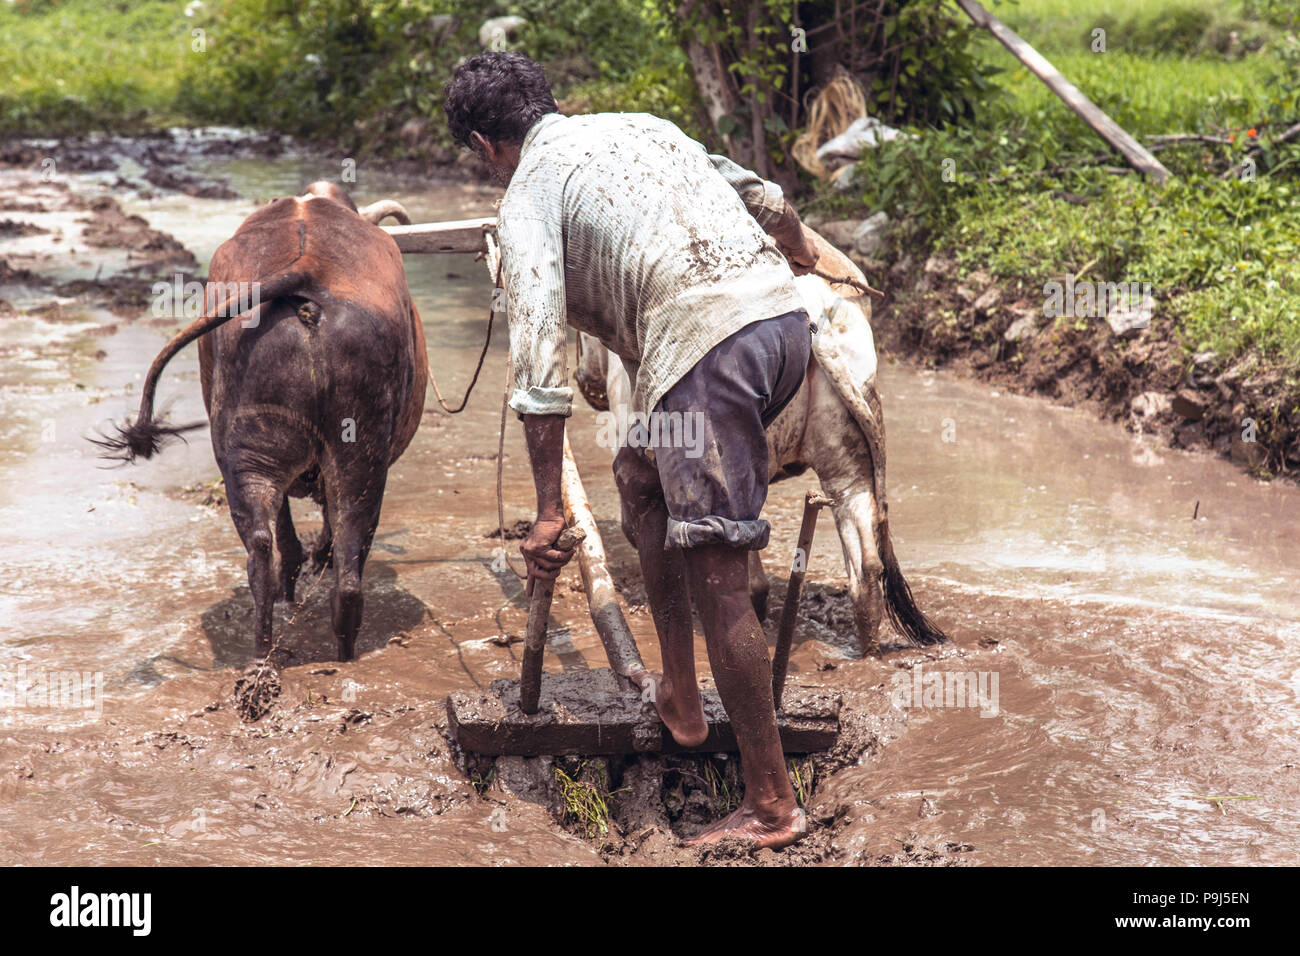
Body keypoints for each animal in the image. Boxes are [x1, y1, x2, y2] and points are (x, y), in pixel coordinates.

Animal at [95, 181, 426, 662]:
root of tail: (307, 271)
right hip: (358, 452)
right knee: (341, 549)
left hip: (257, 453)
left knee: (266, 547)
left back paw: (268, 646)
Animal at [573, 231, 946, 655]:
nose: (585, 381)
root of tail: (815, 318)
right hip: (846, 456)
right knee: (866, 567)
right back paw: (867, 651)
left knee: (750, 570)